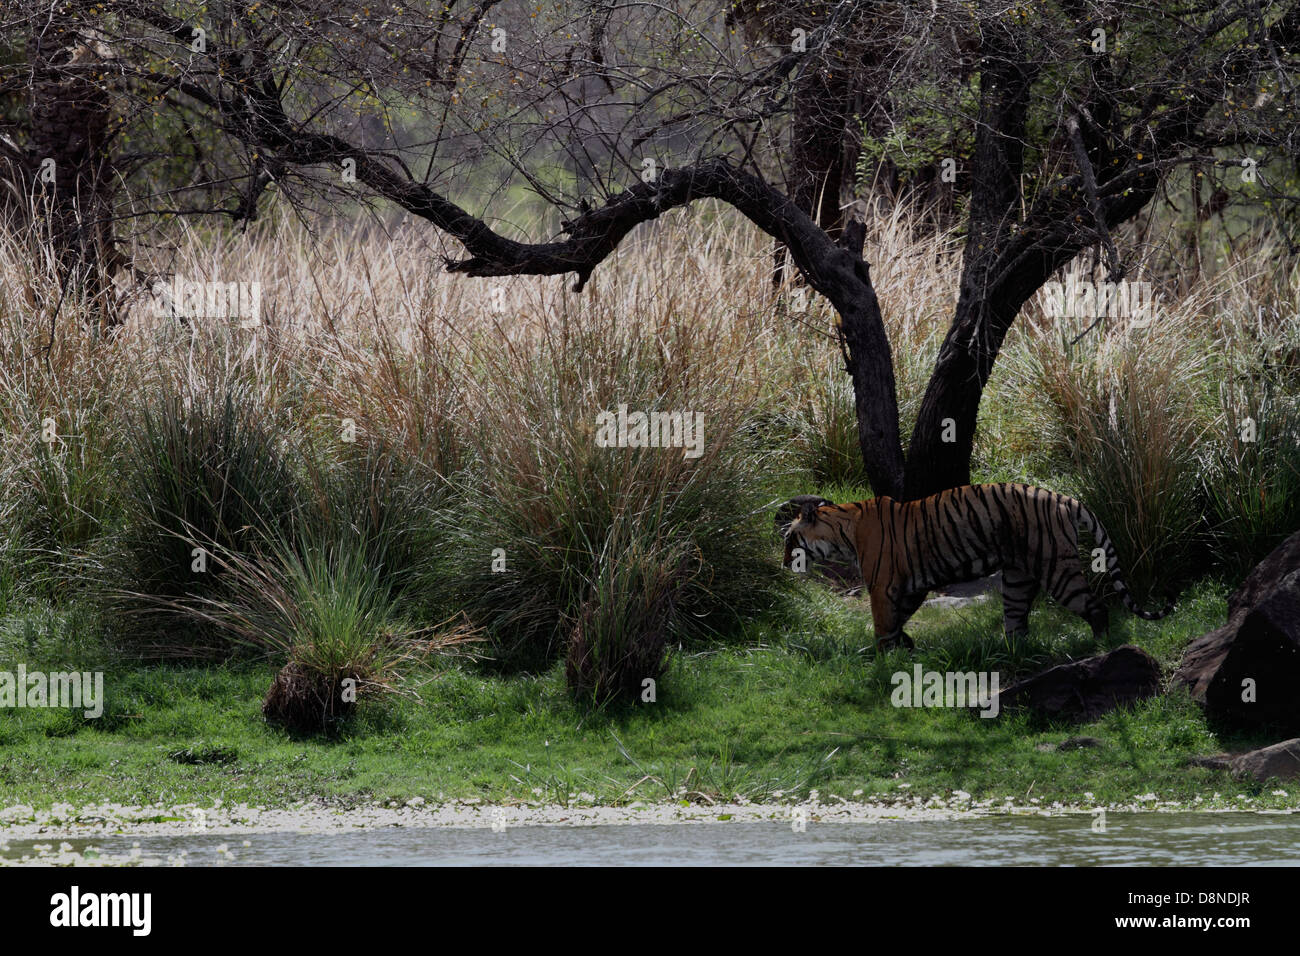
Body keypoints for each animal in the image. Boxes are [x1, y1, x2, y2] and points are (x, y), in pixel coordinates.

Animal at [778, 483, 1173, 651]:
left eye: (790, 539)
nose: (783, 563)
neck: (843, 531)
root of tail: (1064, 497)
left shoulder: (883, 586)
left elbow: (883, 625)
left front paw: (884, 660)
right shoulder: (910, 586)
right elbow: (898, 620)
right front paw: (905, 646)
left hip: (1057, 569)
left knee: (1096, 606)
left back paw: (1100, 644)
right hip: (1017, 578)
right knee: (1017, 623)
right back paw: (1010, 655)